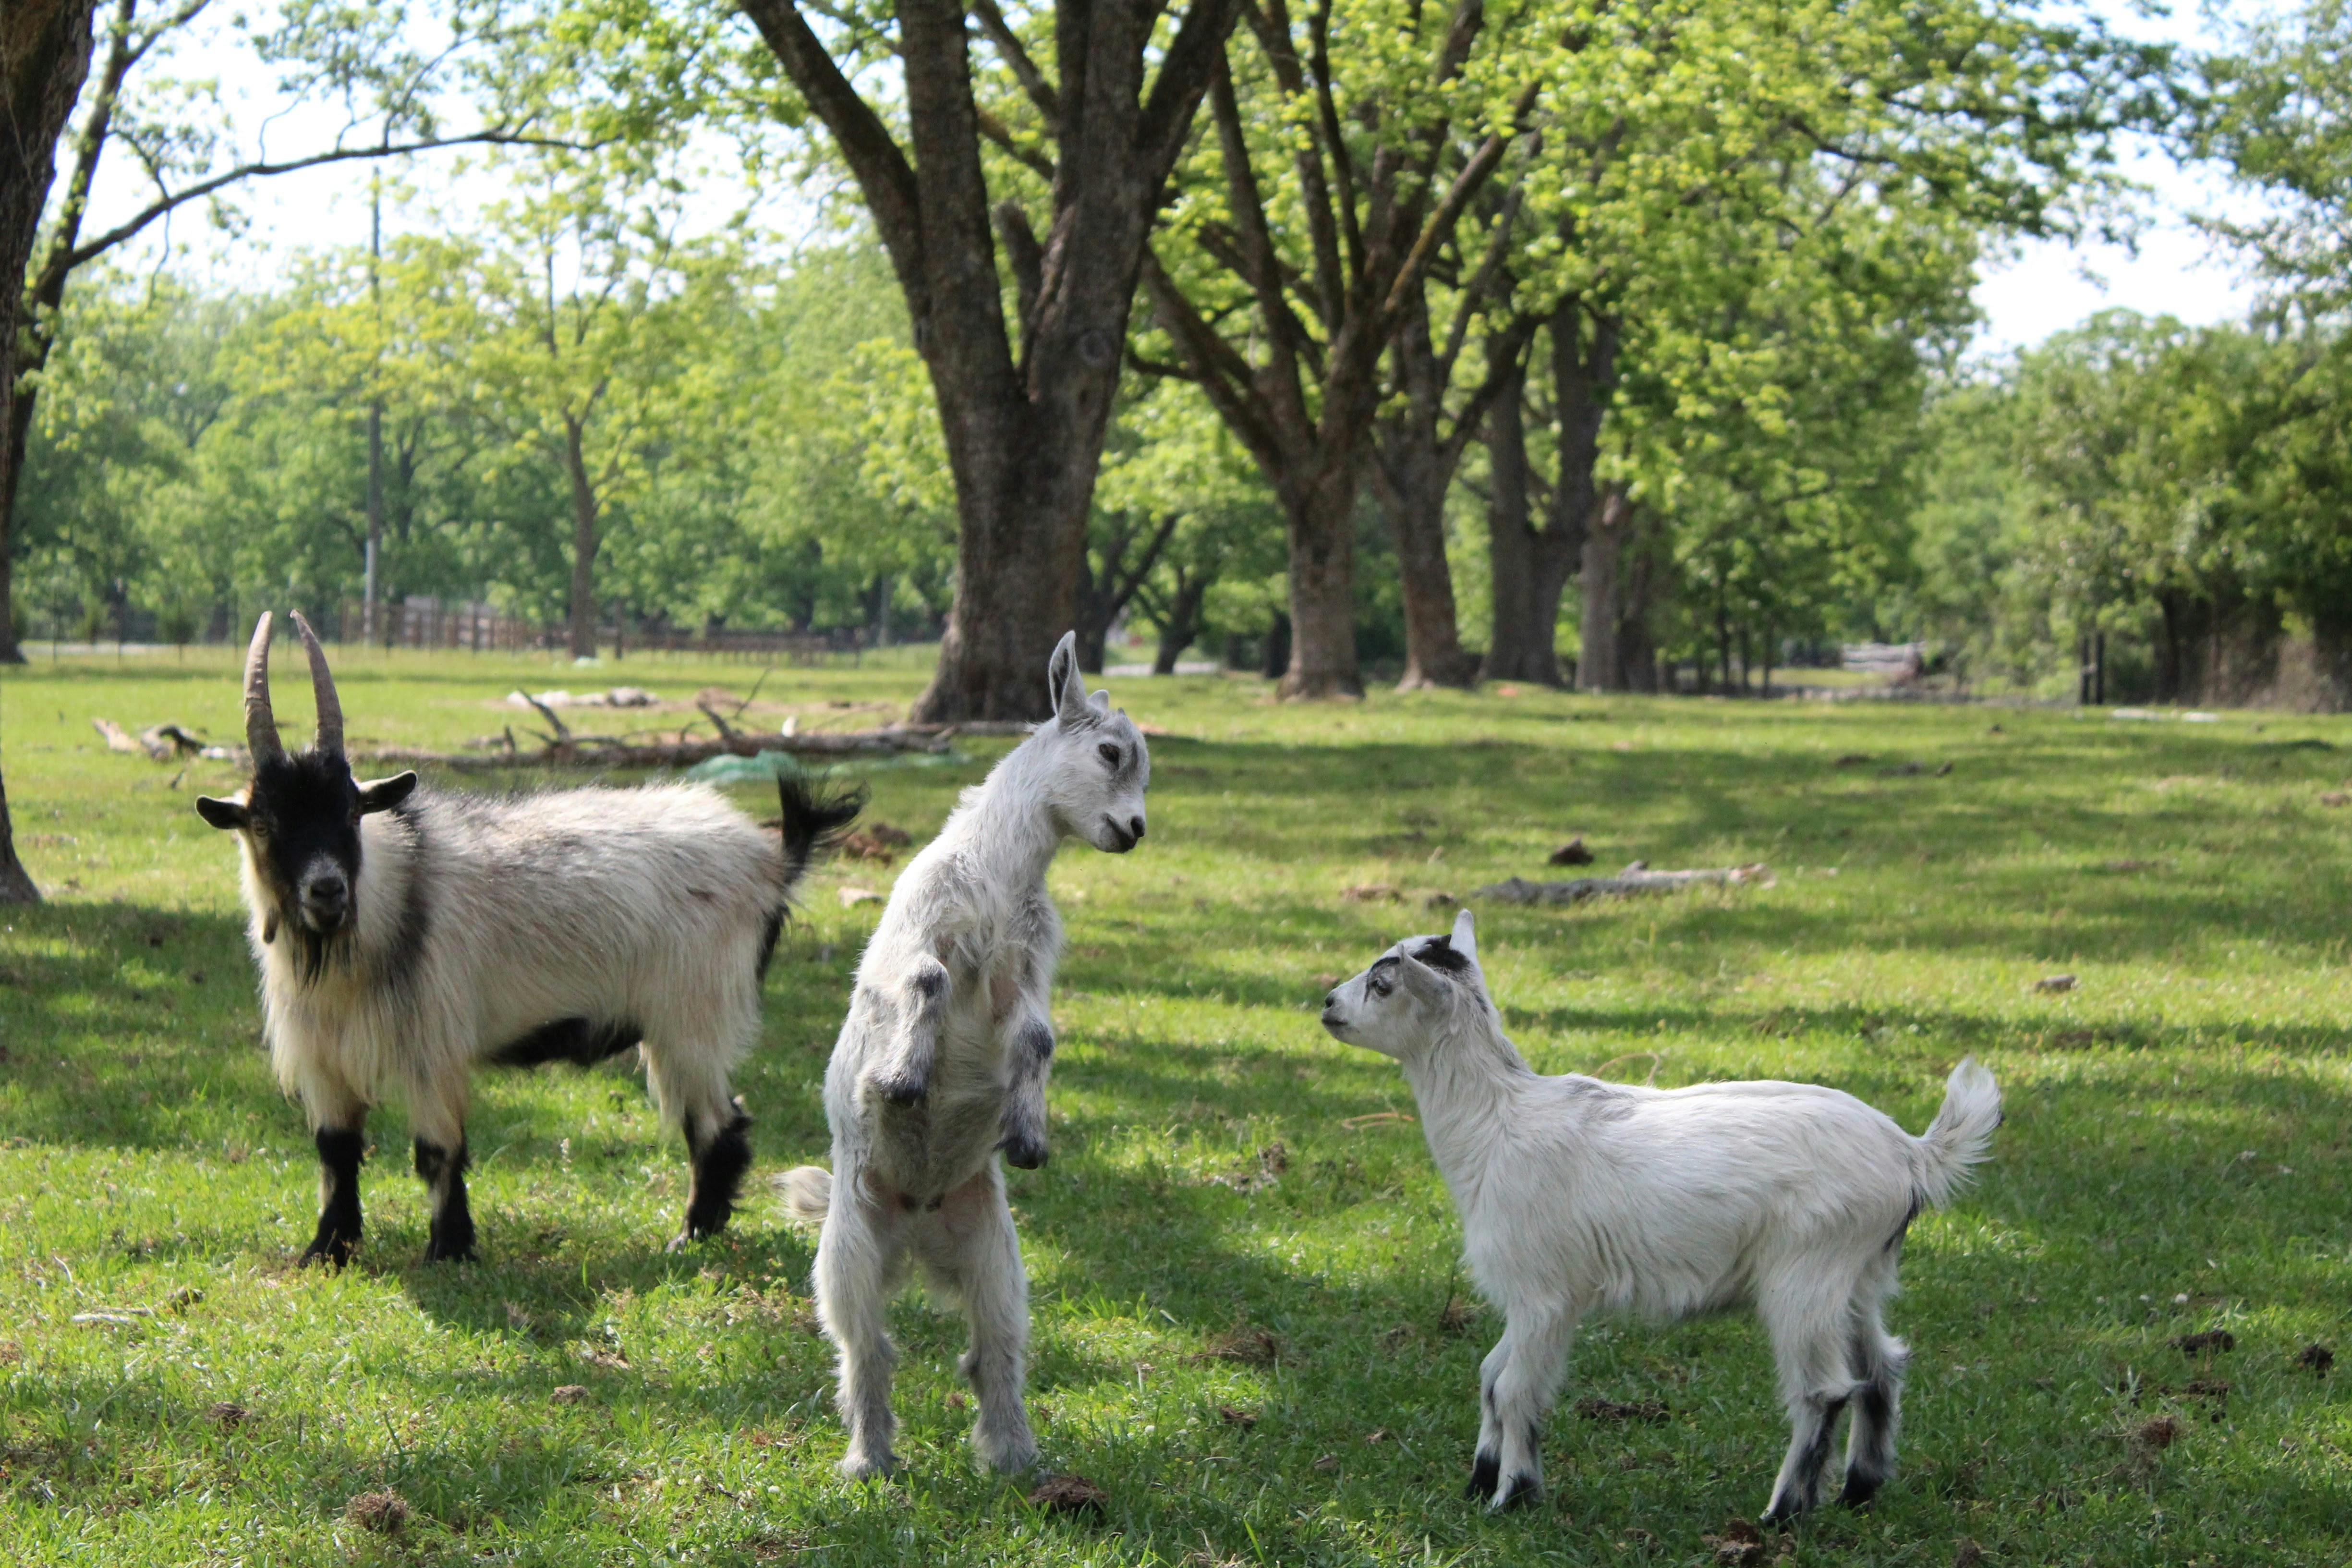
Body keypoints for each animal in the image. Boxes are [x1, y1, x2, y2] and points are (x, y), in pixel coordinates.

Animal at [196, 612, 859, 1265]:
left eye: (352, 813)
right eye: (263, 822)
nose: (327, 891)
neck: (381, 910)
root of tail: (771, 861)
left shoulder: (431, 1049)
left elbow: (437, 1151)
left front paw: (449, 1250)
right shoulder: (323, 1059)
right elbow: (335, 1151)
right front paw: (328, 1248)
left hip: (690, 1021)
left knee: (716, 1125)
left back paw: (690, 1235)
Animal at [778, 631, 1150, 1480]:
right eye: (1110, 752)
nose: (1135, 830)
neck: (999, 874)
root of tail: (917, 1234)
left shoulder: (1031, 967)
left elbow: (1038, 1036)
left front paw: (1028, 1136)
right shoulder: (915, 930)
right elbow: (925, 977)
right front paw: (904, 1079)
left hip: (995, 1256)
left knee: (992, 1351)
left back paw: (1014, 1456)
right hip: (847, 1248)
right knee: (867, 1348)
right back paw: (870, 1460)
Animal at [1320, 909, 2001, 1521]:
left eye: (1382, 983)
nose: (1327, 1003)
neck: (1497, 1120)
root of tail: (1911, 1153)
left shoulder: (1542, 1290)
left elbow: (1515, 1388)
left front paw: (1511, 1496)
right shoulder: (1529, 1294)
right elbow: (1491, 1373)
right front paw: (1481, 1478)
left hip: (1805, 1271)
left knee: (1824, 1389)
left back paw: (1782, 1512)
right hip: (1861, 1275)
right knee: (1880, 1368)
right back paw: (1858, 1490)